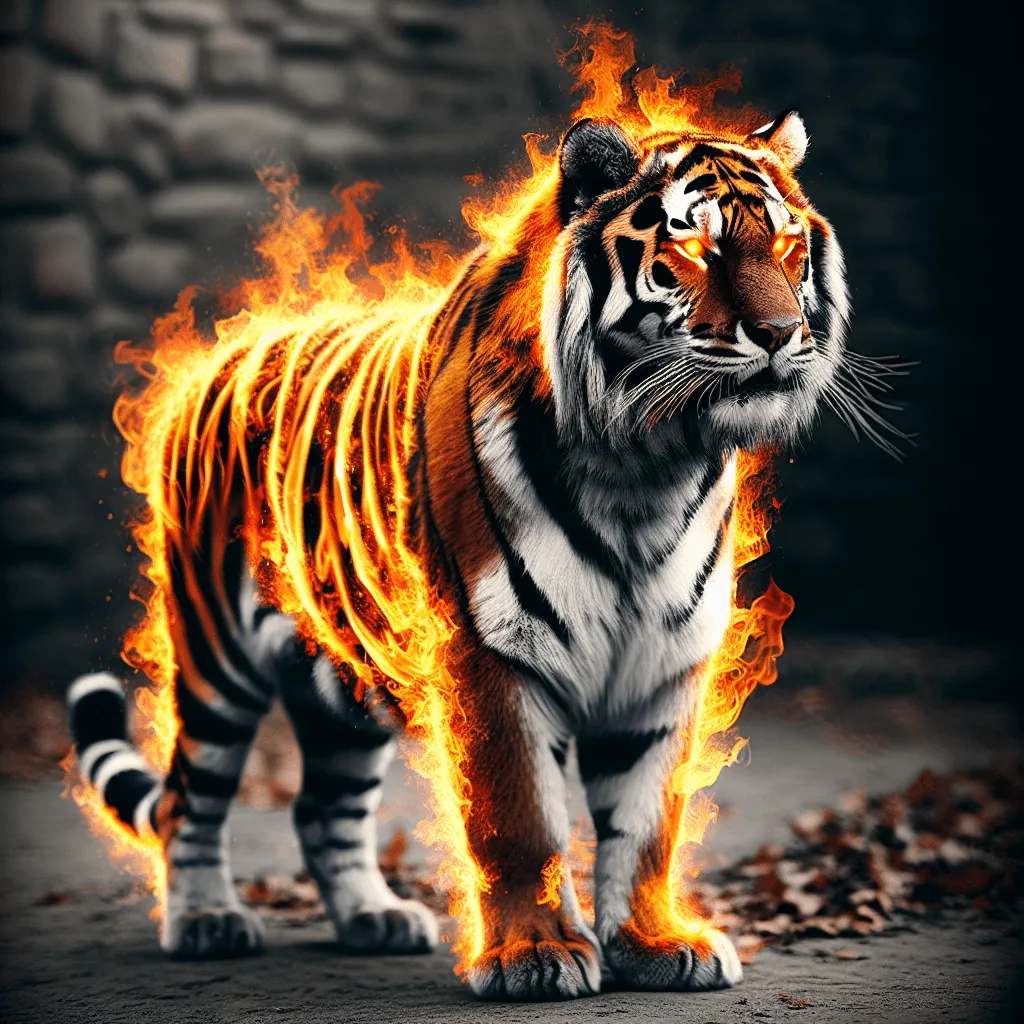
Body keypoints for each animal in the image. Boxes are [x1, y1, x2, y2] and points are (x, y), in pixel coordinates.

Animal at [67, 109, 857, 1001]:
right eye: (696, 248)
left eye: (787, 245)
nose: (782, 334)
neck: (646, 469)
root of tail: (221, 358)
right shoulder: (490, 652)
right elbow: (520, 818)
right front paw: (536, 955)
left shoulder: (665, 661)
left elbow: (647, 821)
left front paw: (654, 944)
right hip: (216, 655)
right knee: (190, 803)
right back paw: (206, 922)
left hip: (341, 681)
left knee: (321, 807)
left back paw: (374, 918)